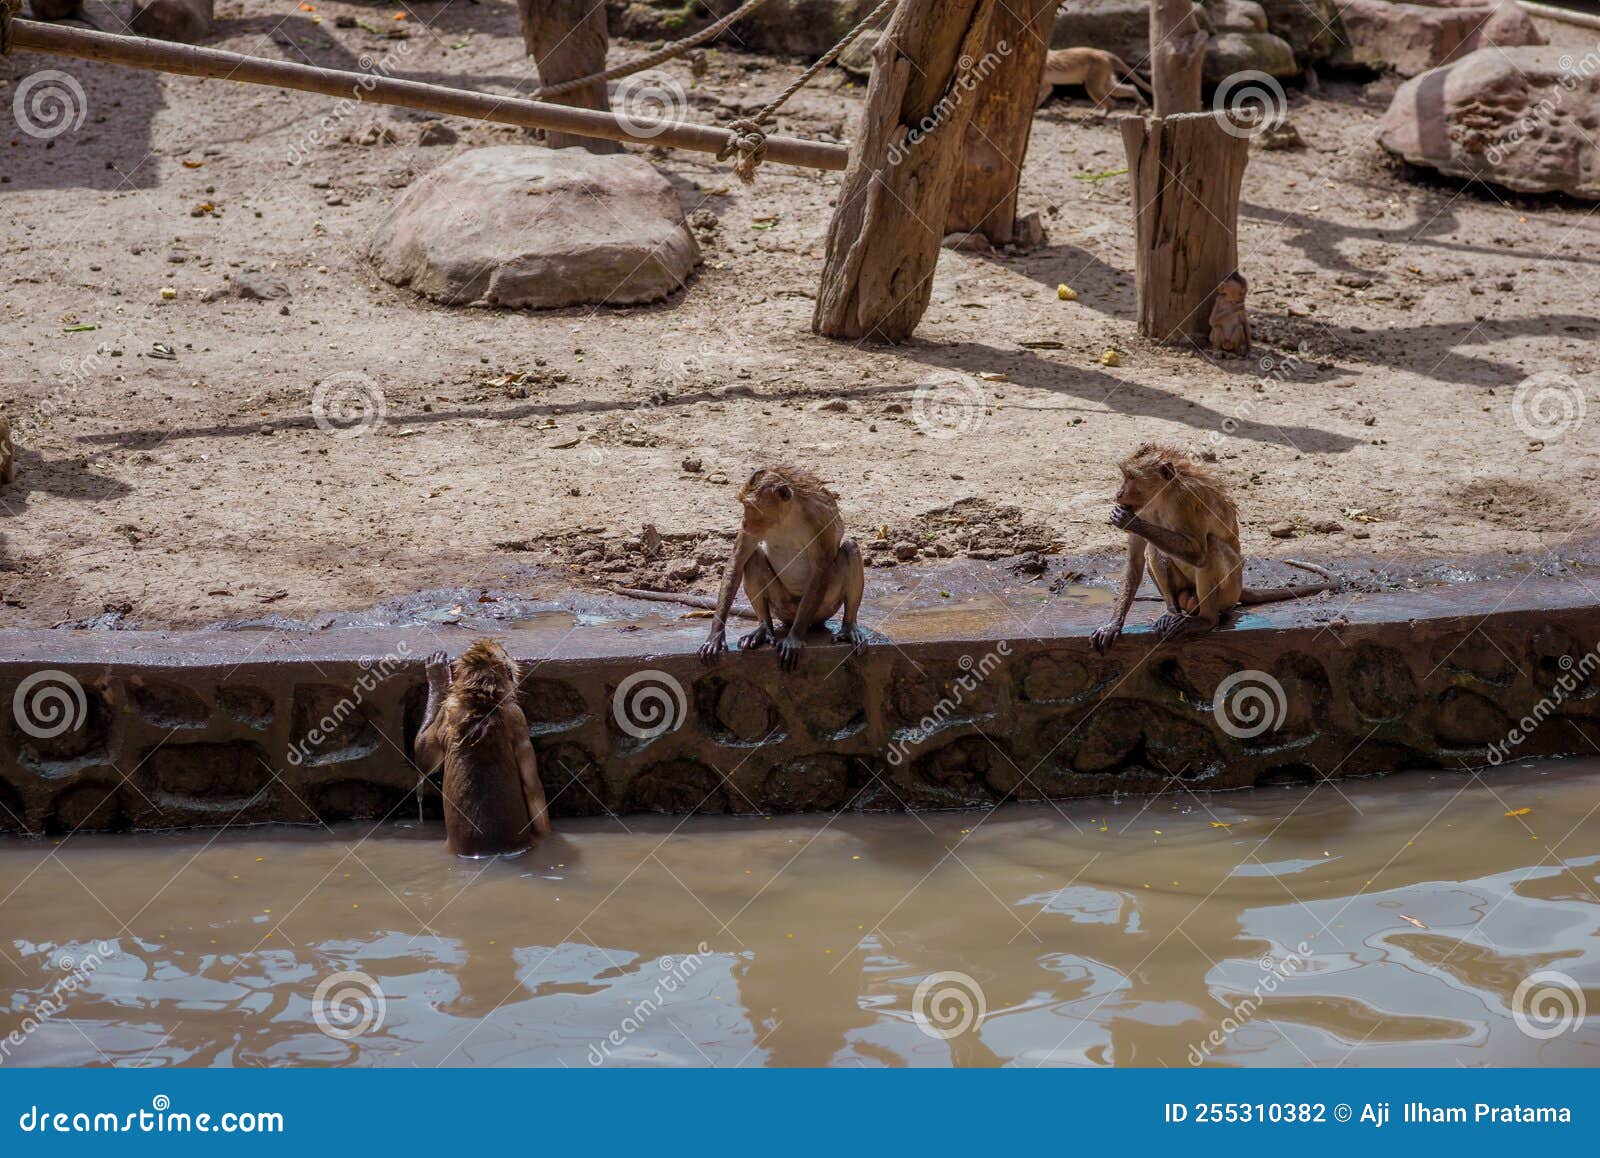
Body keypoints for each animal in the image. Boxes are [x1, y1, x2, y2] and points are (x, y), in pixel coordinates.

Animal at [415, 639, 550, 857]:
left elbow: (422, 760)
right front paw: (437, 675)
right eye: (505, 653)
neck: (480, 703)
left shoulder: (448, 711)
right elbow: (533, 787)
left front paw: (437, 676)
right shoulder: (517, 715)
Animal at [698, 464, 867, 672]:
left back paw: (848, 626)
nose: (744, 521)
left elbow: (820, 572)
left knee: (850, 547)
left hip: (825, 607)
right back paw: (764, 628)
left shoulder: (821, 520)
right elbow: (737, 561)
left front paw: (793, 639)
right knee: (753, 557)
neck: (787, 518)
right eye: (744, 505)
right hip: (780, 605)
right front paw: (715, 635)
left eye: (750, 507)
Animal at [1091, 443, 1340, 651]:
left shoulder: (1186, 500)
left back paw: (1206, 620)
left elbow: (1199, 552)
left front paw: (1131, 522)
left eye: (1131, 477)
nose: (1118, 493)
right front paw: (1113, 625)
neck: (1162, 497)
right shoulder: (1140, 506)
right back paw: (1172, 611)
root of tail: (1240, 588)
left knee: (1210, 548)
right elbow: (1135, 561)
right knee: (1155, 550)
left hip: (1229, 590)